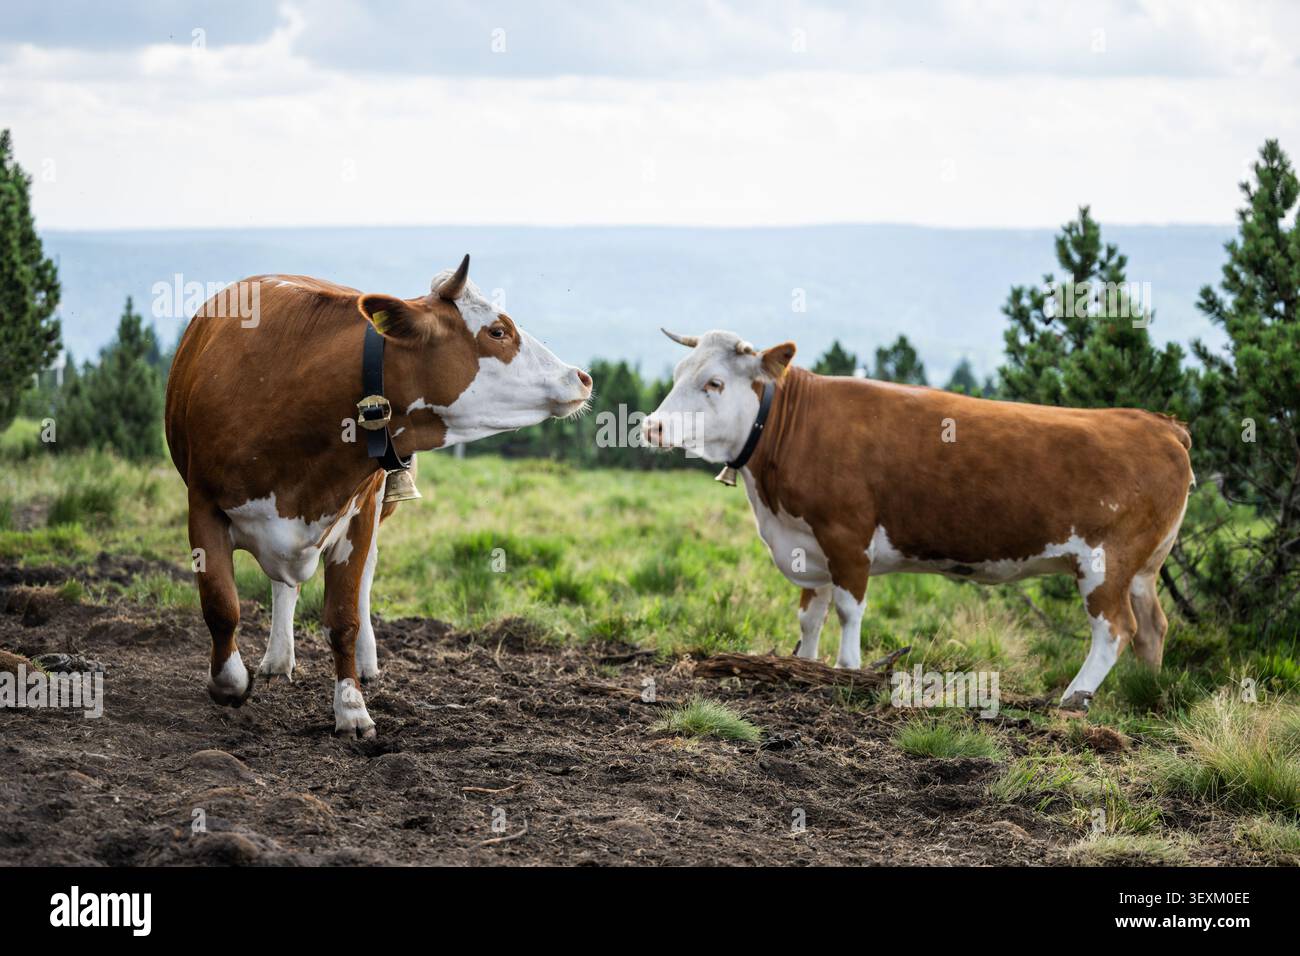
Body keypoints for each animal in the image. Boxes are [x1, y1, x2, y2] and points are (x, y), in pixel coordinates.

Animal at [165, 256, 592, 737]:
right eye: (498, 331)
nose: (580, 376)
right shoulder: (202, 506)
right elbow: (221, 605)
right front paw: (230, 683)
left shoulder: (359, 513)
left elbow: (343, 617)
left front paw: (351, 707)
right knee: (283, 586)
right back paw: (278, 659)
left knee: (360, 578)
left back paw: (361, 663)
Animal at [642, 329, 1193, 709]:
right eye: (676, 375)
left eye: (714, 383)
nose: (652, 426)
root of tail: (1157, 424)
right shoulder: (804, 544)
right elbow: (810, 615)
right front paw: (801, 665)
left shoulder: (847, 538)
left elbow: (848, 611)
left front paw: (846, 670)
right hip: (1142, 568)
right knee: (1152, 627)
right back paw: (1145, 691)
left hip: (1106, 563)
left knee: (1115, 630)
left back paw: (1074, 697)